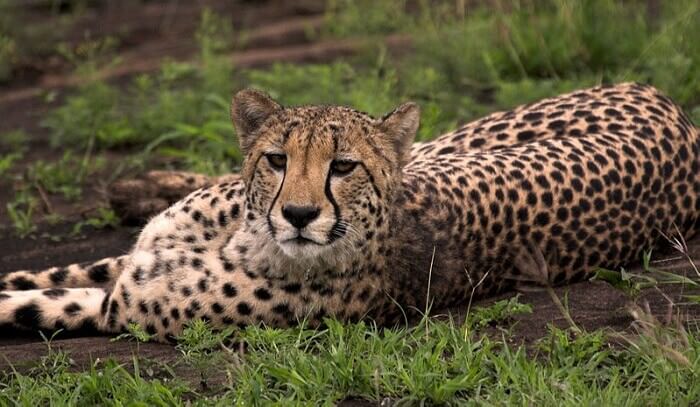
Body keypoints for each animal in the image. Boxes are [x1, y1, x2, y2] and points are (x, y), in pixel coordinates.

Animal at [1, 82, 698, 343]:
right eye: (278, 159)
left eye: (344, 166)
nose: (299, 214)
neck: (246, 236)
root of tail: (675, 112)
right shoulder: (135, 262)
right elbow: (57, 273)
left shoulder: (121, 306)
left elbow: (40, 301)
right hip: (449, 141)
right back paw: (137, 185)